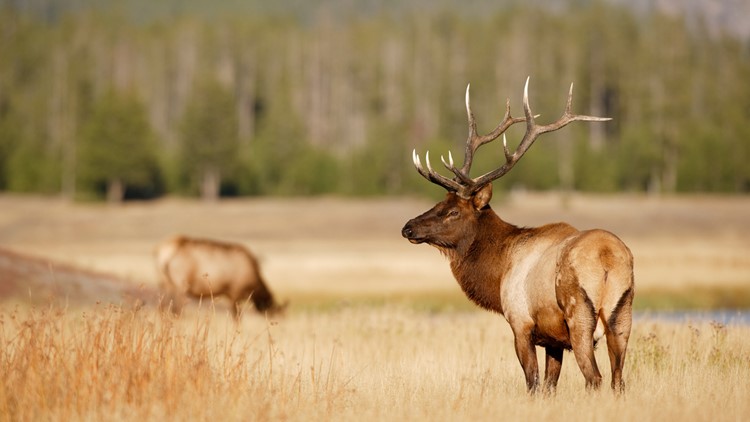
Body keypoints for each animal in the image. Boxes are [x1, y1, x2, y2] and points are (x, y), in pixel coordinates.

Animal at [401, 78, 634, 393]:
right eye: (438, 203)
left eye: (452, 211)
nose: (408, 227)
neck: (500, 268)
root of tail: (607, 258)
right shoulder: (553, 339)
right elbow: (549, 385)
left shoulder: (520, 323)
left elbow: (532, 382)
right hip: (622, 315)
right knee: (618, 380)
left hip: (580, 316)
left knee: (595, 379)